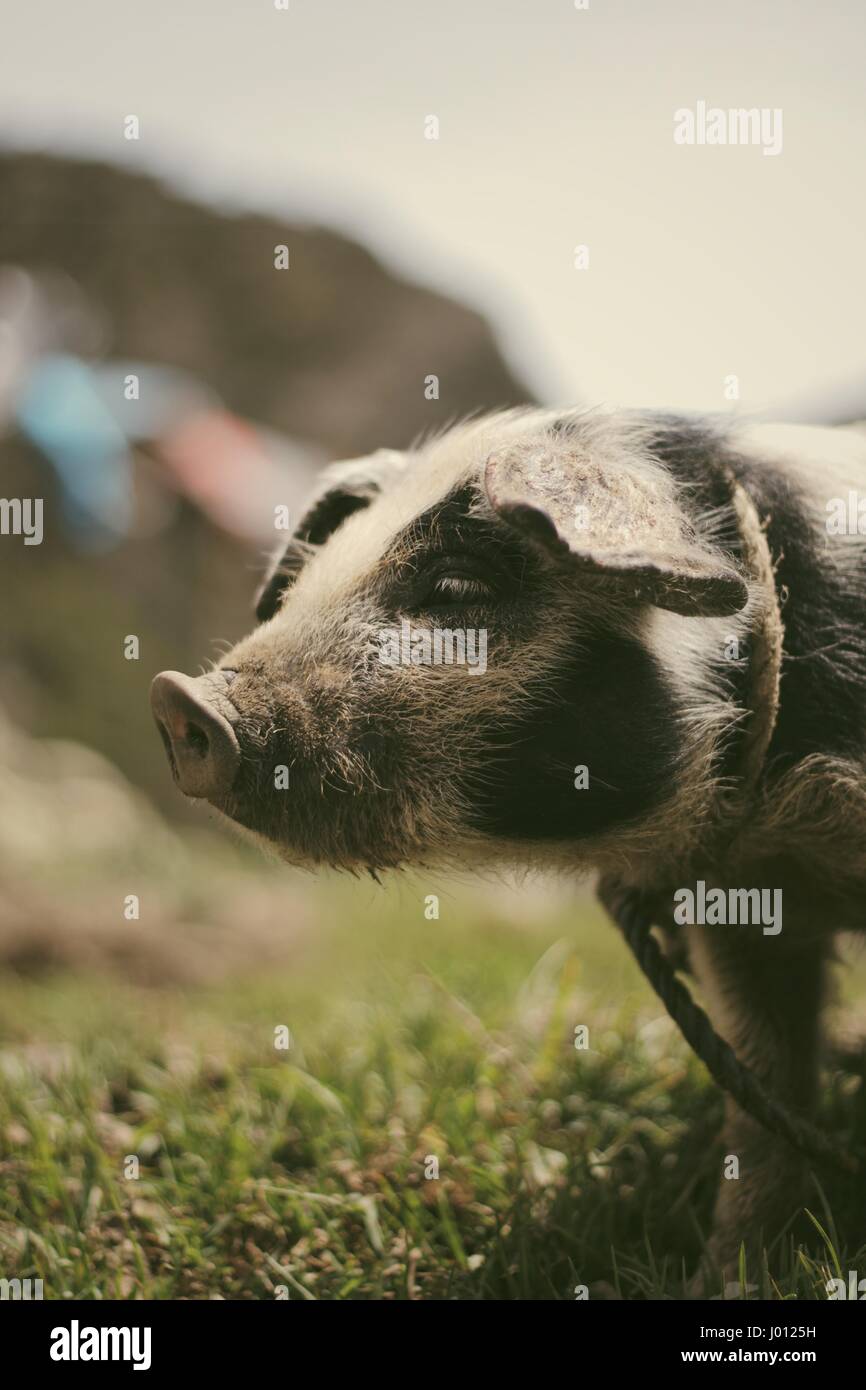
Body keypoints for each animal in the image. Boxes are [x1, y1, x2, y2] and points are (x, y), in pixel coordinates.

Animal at [151, 406, 866, 1290]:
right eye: (309, 576)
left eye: (458, 586)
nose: (179, 698)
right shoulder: (744, 903)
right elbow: (767, 1096)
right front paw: (730, 1276)